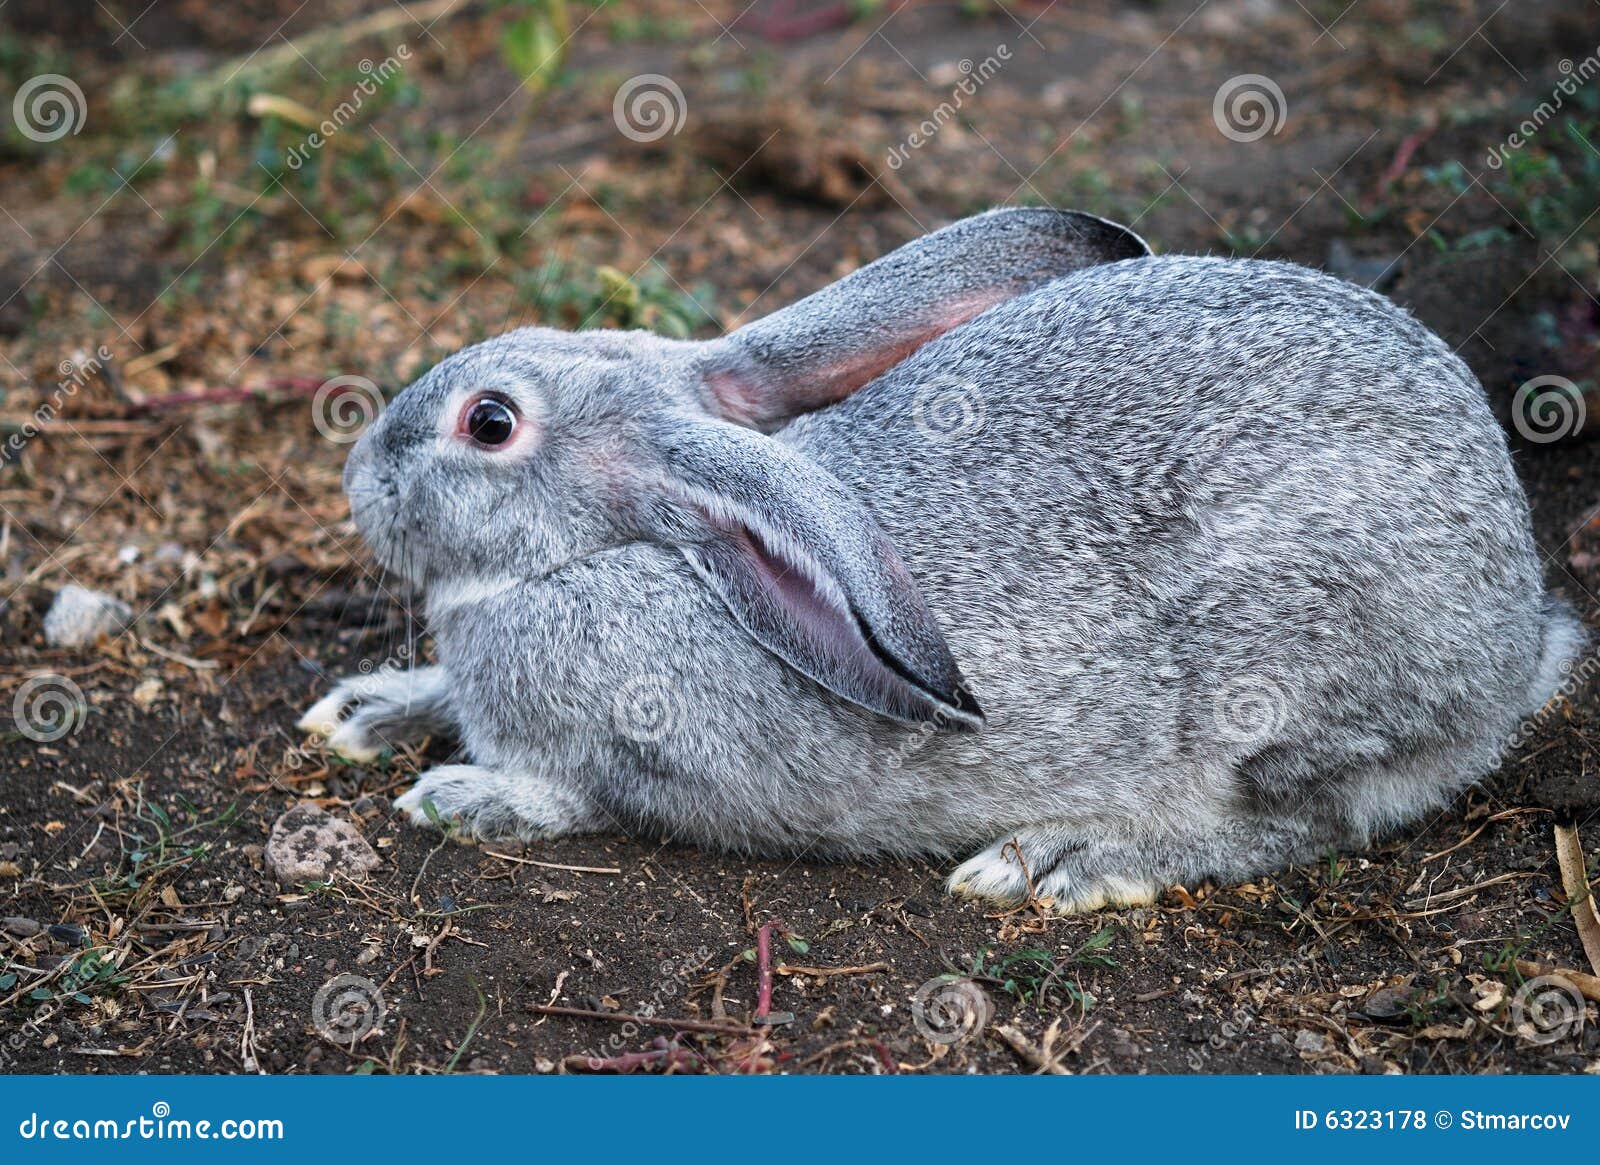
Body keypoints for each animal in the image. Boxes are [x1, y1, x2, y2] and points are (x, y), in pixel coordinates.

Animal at [300, 207, 1585, 913]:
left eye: (489, 423)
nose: (359, 471)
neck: (640, 541)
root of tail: (1514, 638)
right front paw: (366, 710)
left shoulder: (645, 756)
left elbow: (576, 795)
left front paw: (461, 796)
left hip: (1295, 665)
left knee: (1315, 817)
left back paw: (1067, 857)